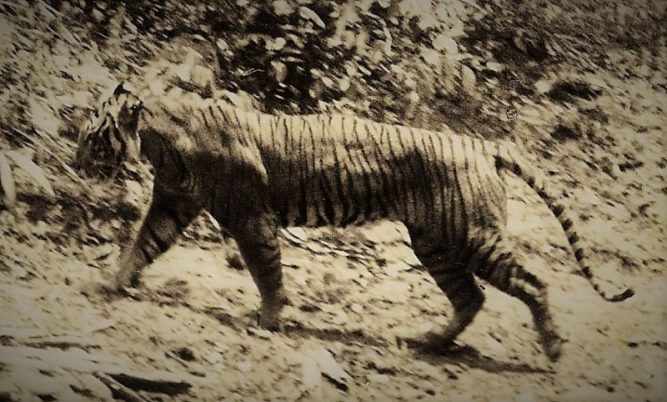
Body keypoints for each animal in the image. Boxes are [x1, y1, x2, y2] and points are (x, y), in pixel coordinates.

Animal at [76, 82, 633, 362]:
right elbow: (141, 245)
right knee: (470, 297)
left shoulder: (251, 219)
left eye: (91, 136)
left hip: (473, 237)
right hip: (435, 244)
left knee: (532, 283)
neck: (160, 142)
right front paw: (110, 283)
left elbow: (266, 272)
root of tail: (481, 143)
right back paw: (430, 342)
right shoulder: (172, 204)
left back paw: (553, 348)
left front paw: (268, 321)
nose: (76, 160)